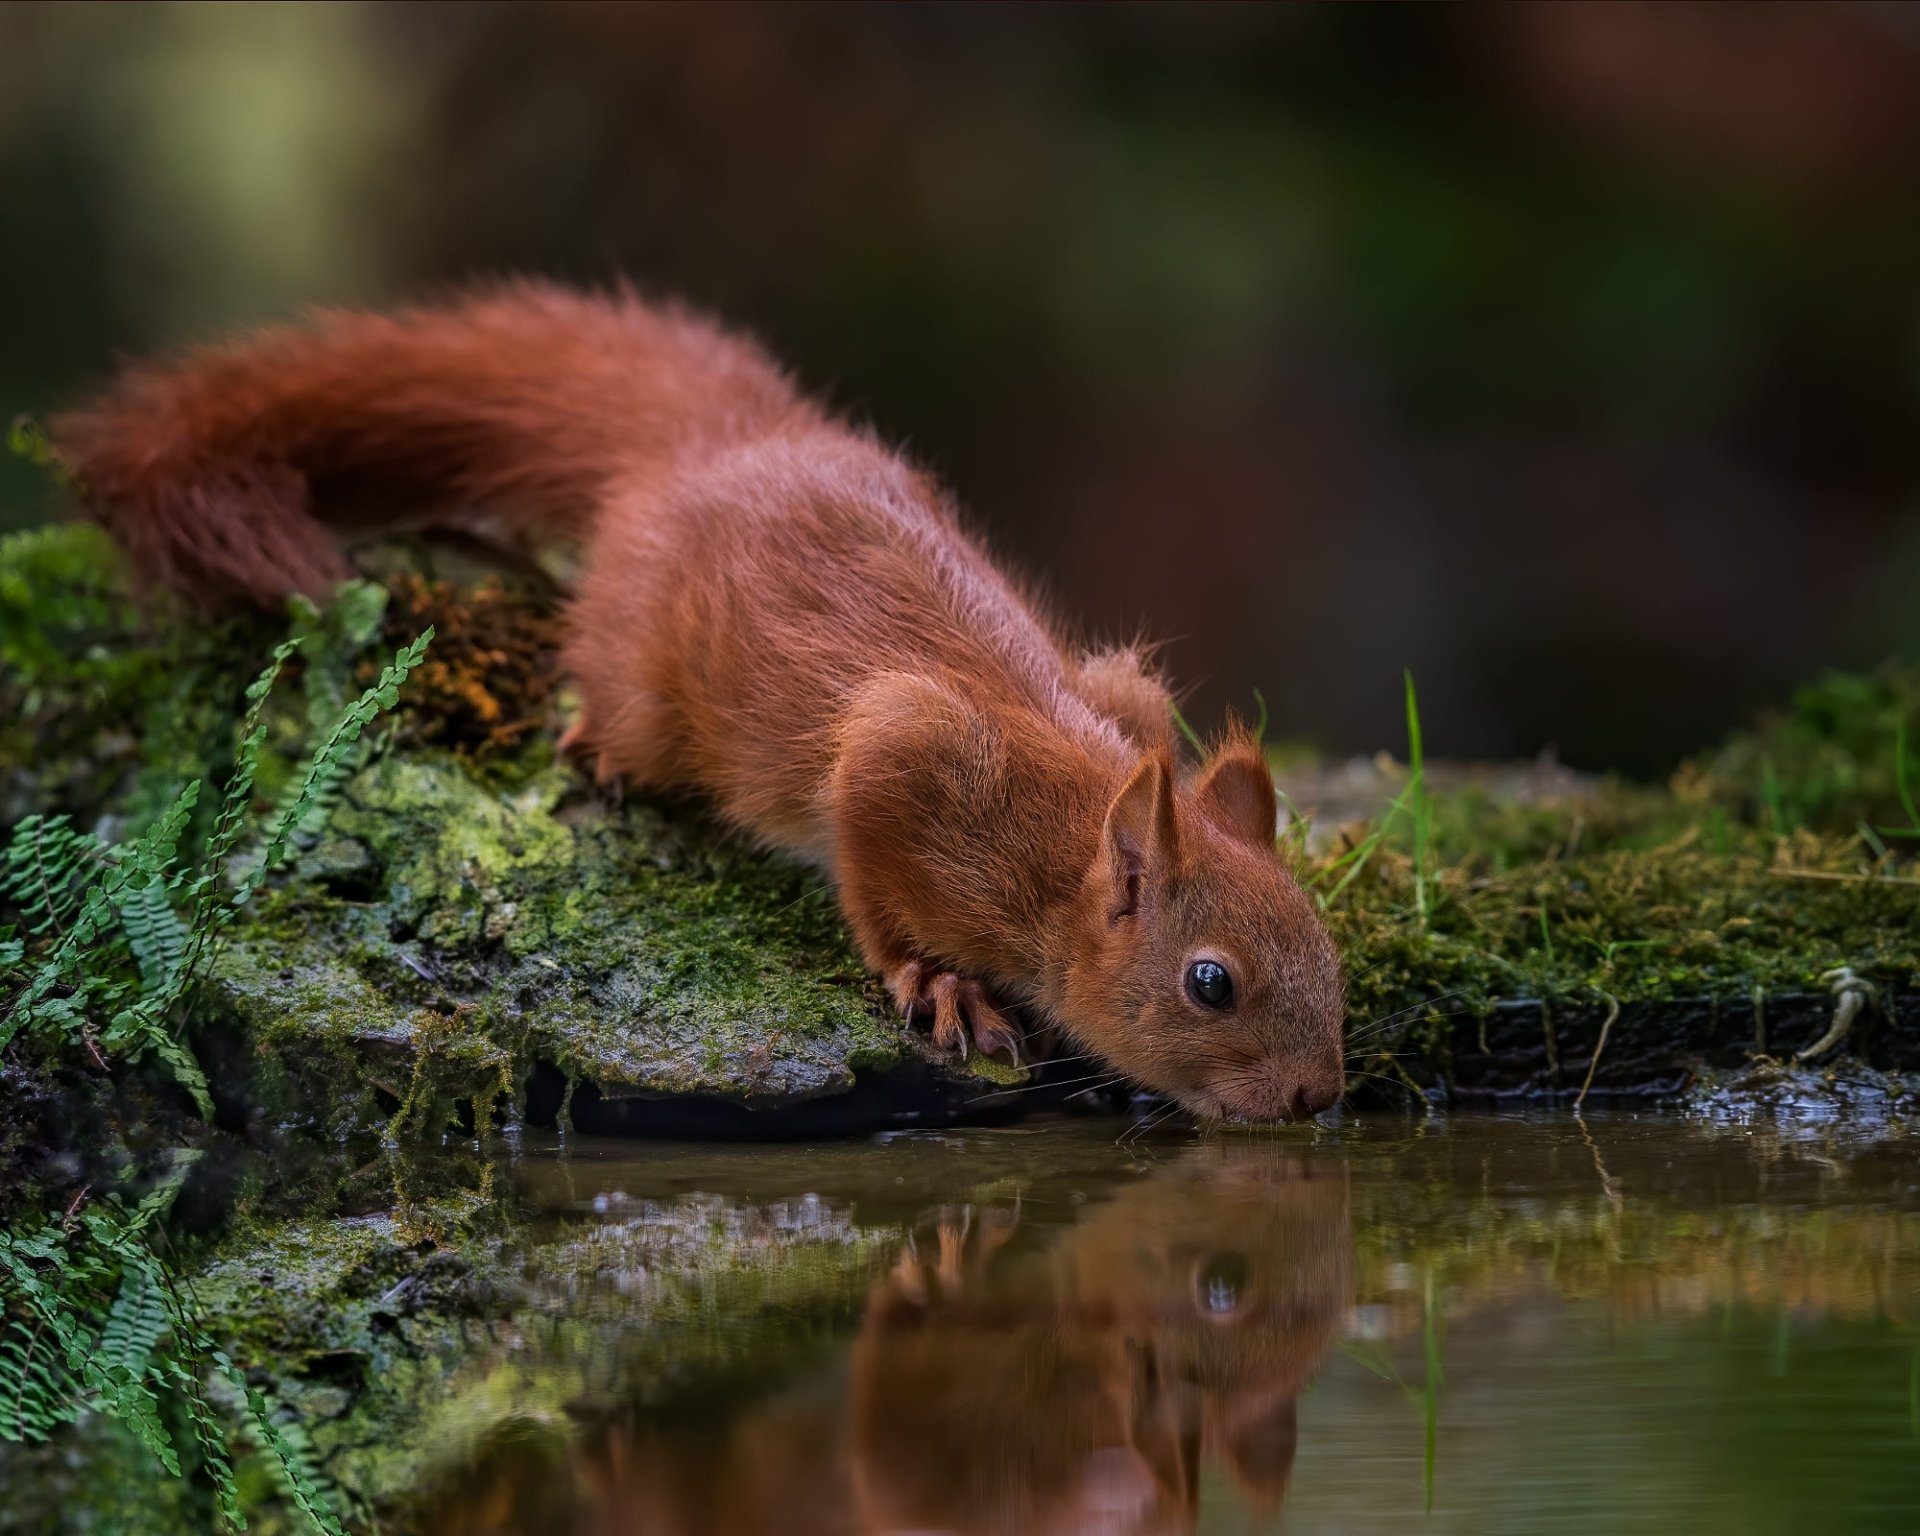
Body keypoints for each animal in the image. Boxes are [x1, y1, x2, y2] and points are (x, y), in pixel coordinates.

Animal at [51, 282, 1345, 1121]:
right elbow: (871, 873)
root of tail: (709, 442)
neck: (1064, 834)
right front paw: (938, 984)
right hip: (644, 665)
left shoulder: (1123, 697)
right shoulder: (907, 755)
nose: (1317, 1097)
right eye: (1211, 982)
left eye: (1329, 947)